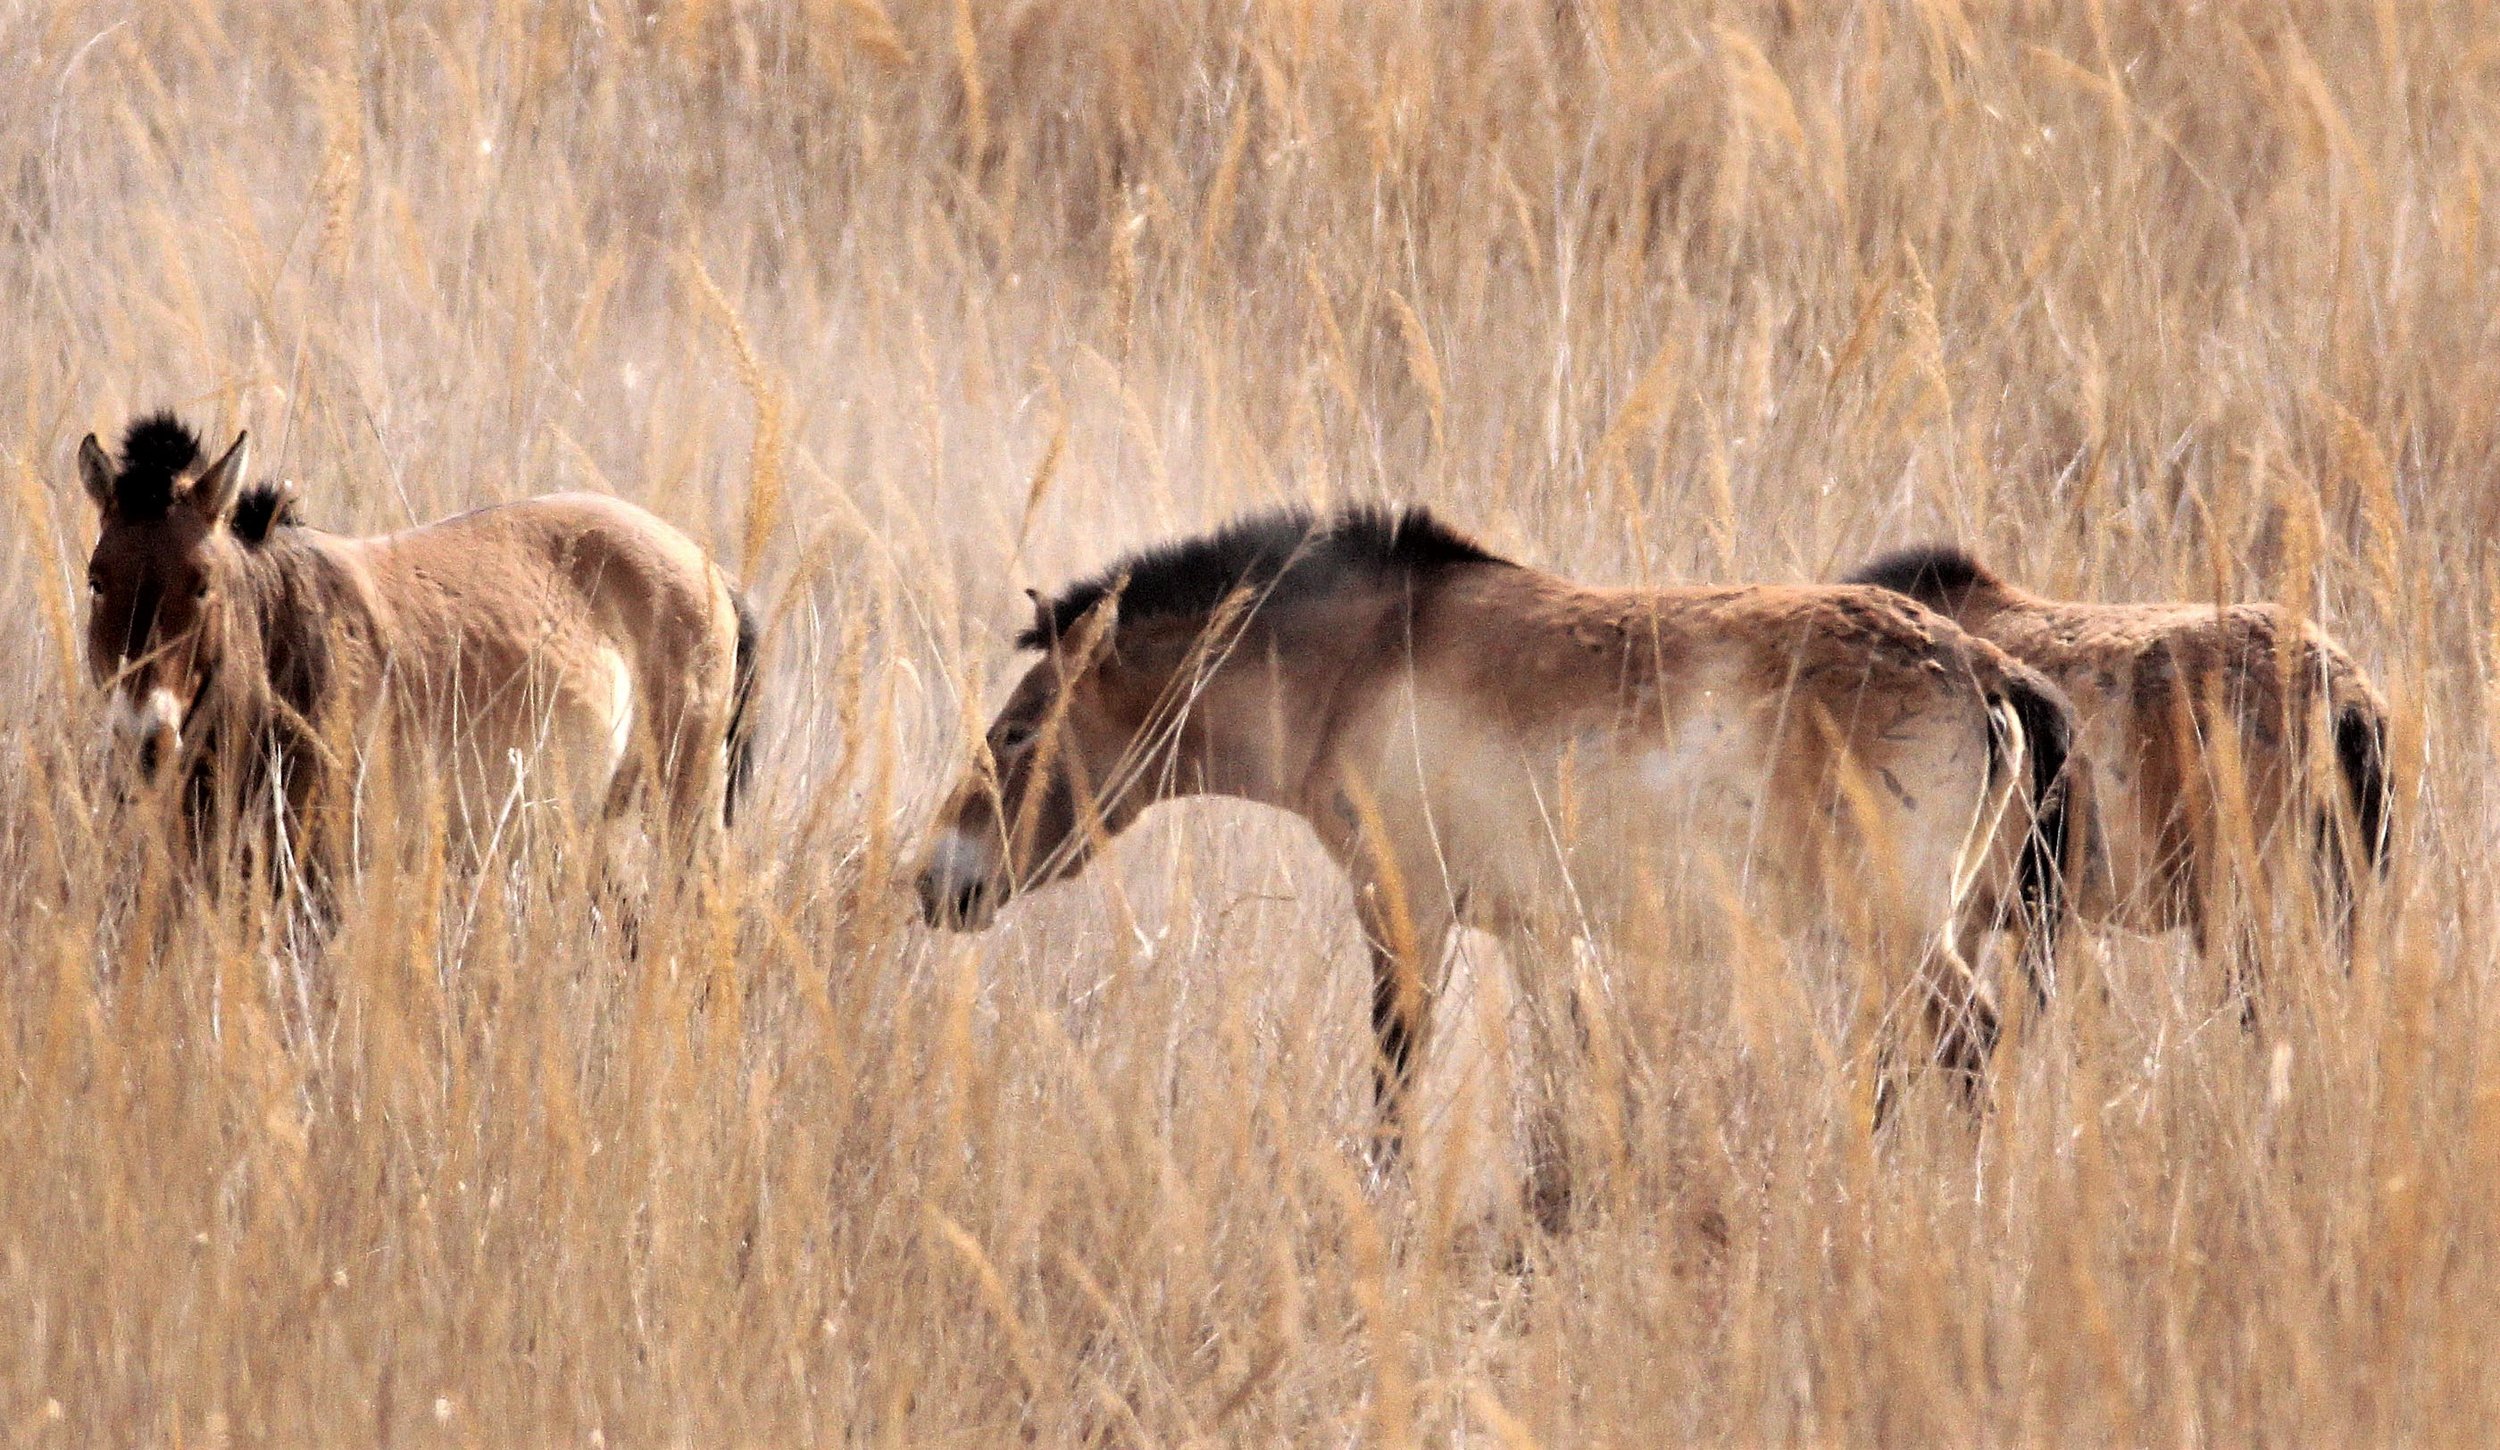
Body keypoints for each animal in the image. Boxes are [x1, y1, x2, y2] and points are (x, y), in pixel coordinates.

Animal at [75, 413, 760, 896]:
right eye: (97, 580)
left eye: (202, 582)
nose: (144, 738)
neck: (283, 639)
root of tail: (709, 569)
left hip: (686, 813)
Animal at [917, 505, 2076, 1203]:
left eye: (1018, 730)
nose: (933, 879)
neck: (1357, 665)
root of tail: (1983, 667)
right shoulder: (1535, 931)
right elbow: (1580, 1068)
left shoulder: (1404, 913)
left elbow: (1395, 1077)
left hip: (1901, 933)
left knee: (1969, 1041)